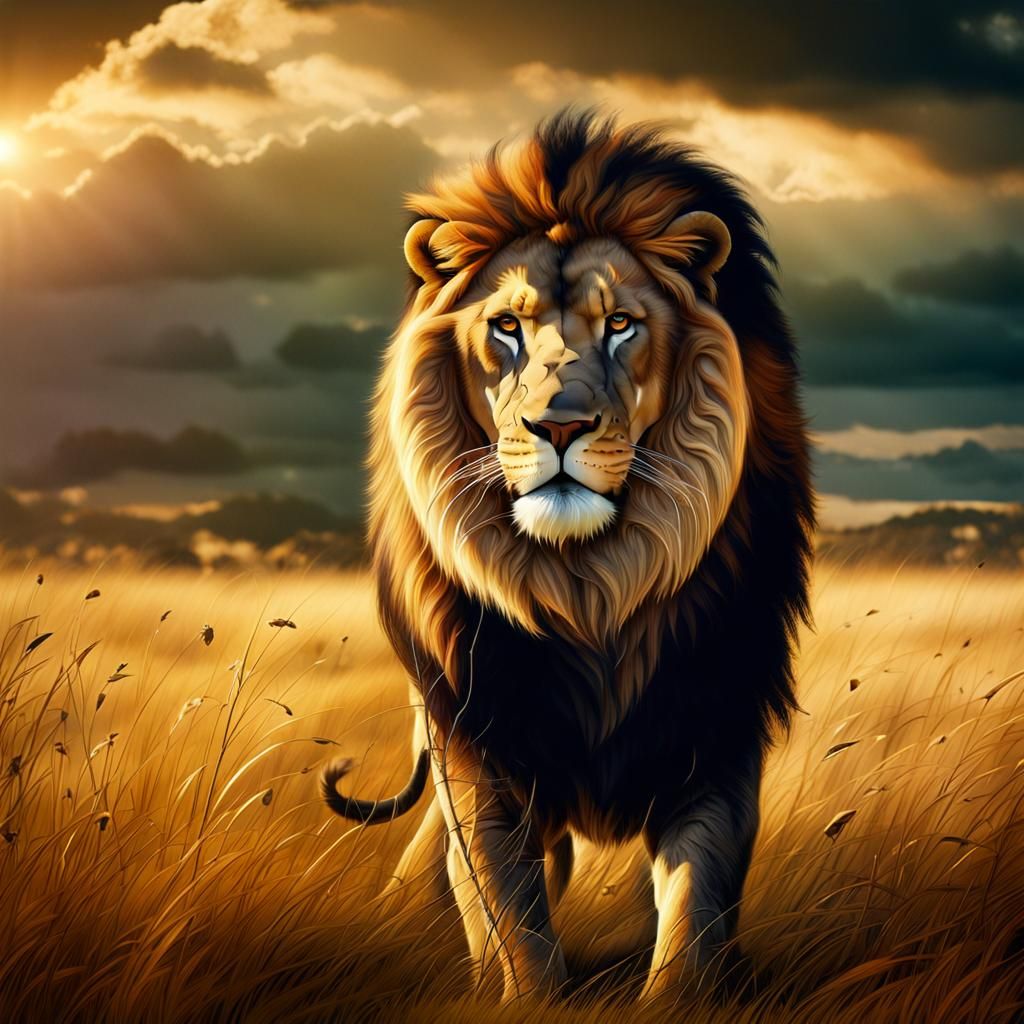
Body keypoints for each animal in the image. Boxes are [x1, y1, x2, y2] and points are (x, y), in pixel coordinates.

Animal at [321, 110, 814, 1002]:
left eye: (621, 324)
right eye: (506, 327)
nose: (559, 426)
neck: (588, 586)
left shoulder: (719, 733)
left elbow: (695, 910)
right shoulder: (477, 751)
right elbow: (508, 915)